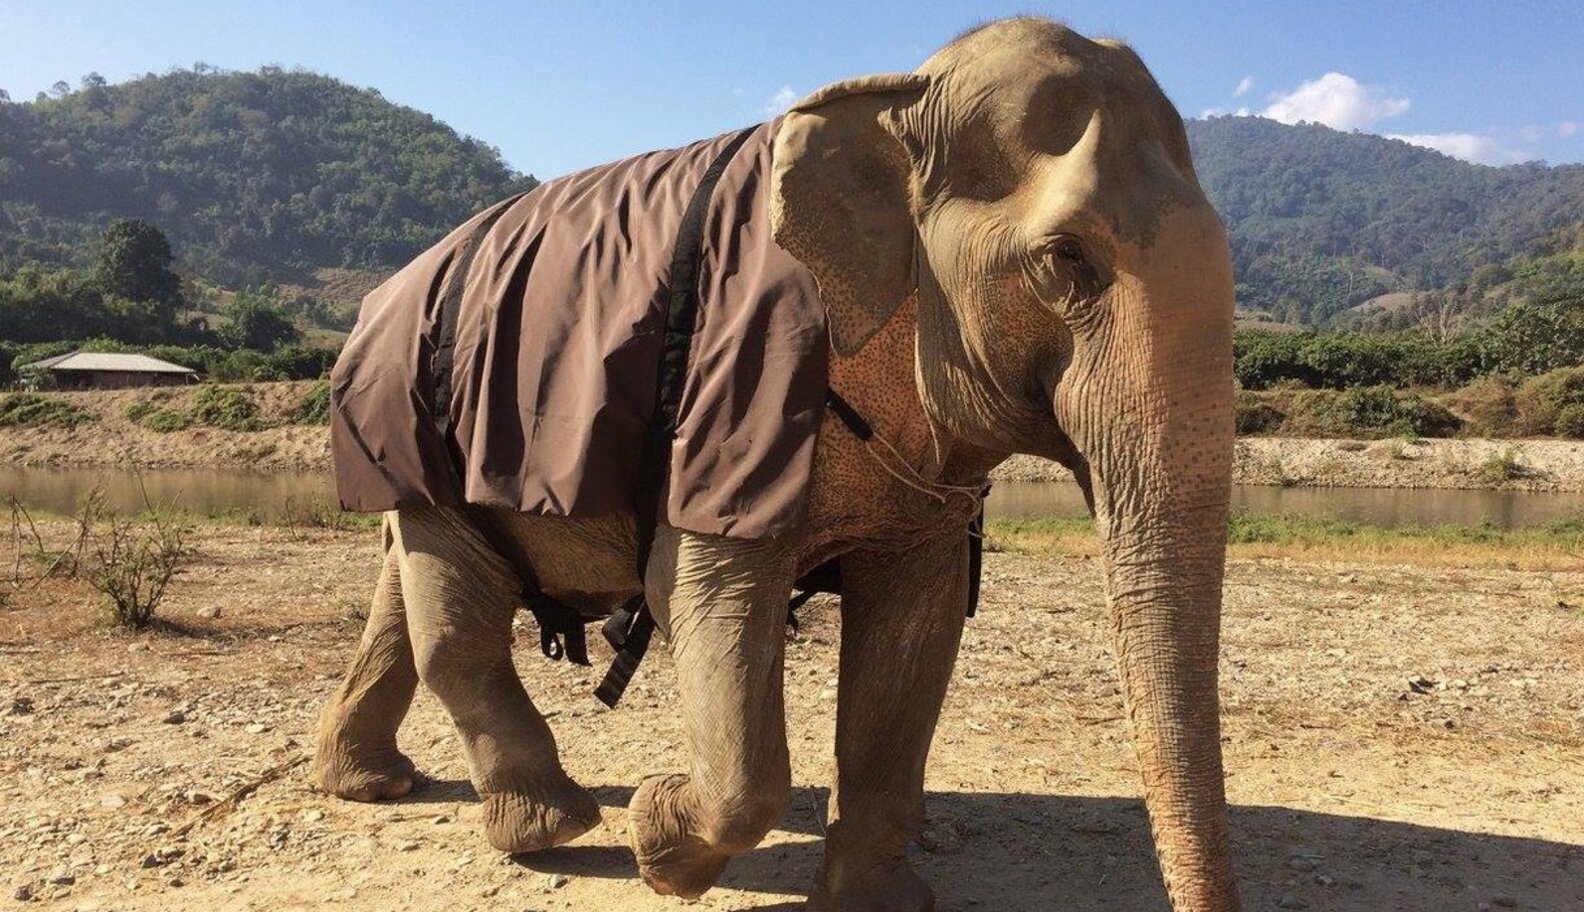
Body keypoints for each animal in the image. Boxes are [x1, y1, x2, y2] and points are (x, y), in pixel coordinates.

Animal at [312, 16, 1240, 912]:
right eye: (1067, 258)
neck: (900, 94)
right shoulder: (729, 407)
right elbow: (698, 596)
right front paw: (658, 836)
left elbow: (916, 626)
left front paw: (876, 902)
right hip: (418, 432)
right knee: (454, 625)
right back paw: (551, 829)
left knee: (410, 593)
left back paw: (375, 783)